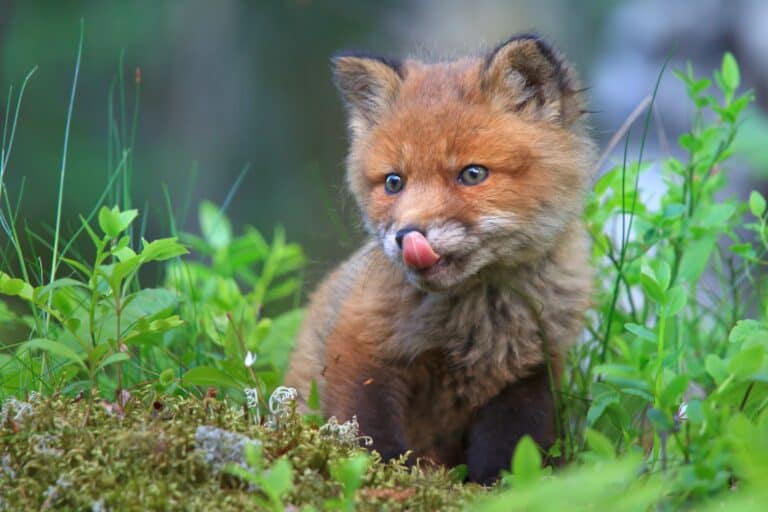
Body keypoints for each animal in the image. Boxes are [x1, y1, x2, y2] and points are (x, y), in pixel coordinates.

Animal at [284, 34, 595, 484]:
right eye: (394, 182)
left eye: (472, 174)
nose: (407, 236)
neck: (475, 325)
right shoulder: (362, 346)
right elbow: (370, 436)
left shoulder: (531, 372)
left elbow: (510, 454)